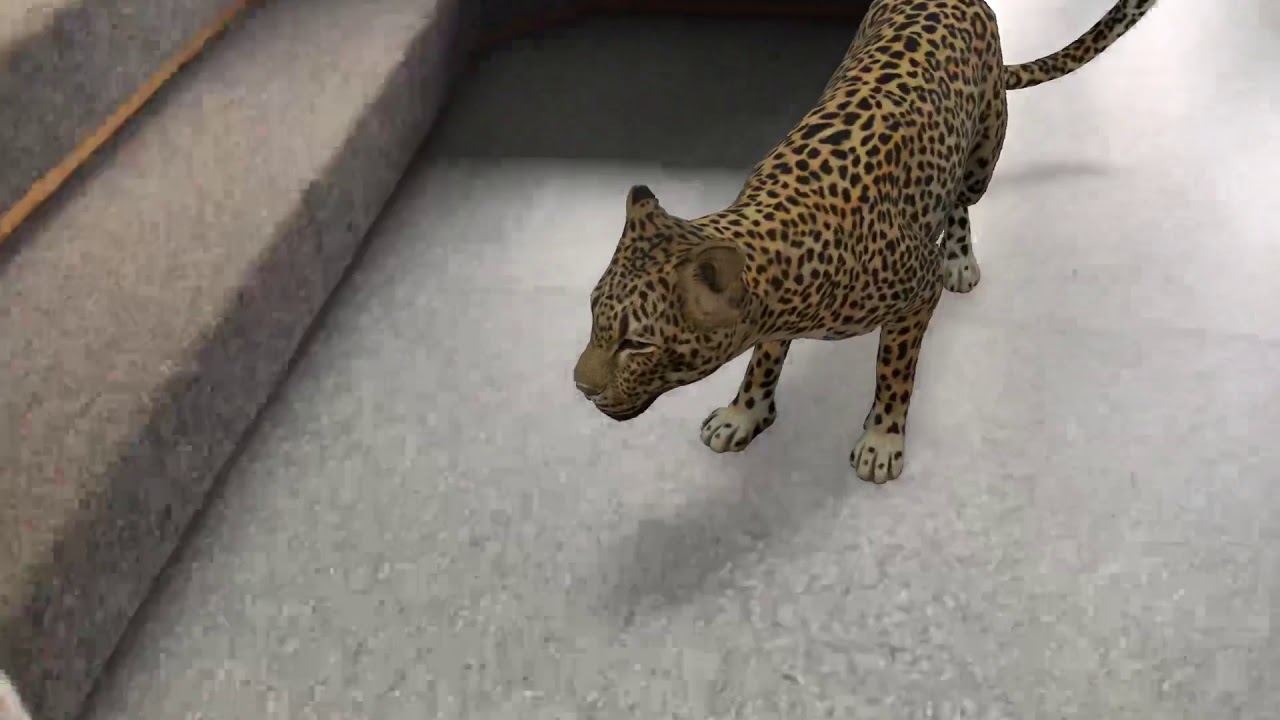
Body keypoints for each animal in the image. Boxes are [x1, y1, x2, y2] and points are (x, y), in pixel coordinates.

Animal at [574, 0, 1158, 484]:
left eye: (637, 344)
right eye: (594, 314)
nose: (580, 386)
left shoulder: (917, 295)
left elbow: (893, 373)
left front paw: (882, 440)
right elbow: (764, 357)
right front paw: (745, 413)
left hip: (982, 152)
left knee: (961, 201)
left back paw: (960, 260)